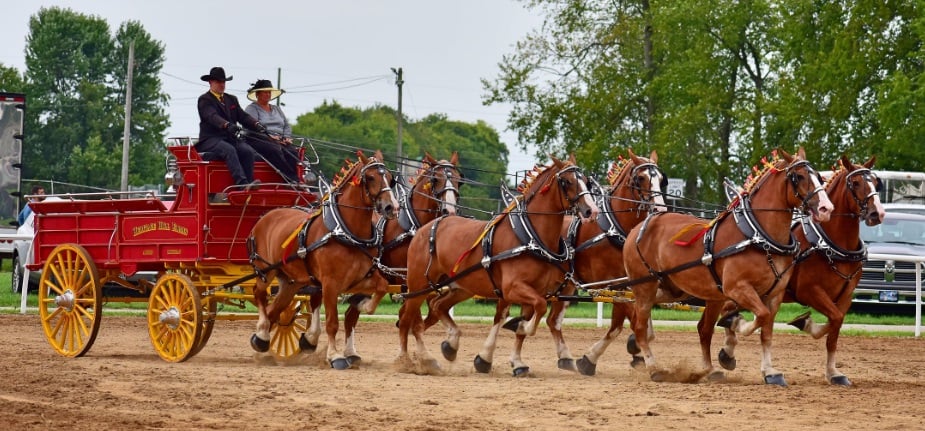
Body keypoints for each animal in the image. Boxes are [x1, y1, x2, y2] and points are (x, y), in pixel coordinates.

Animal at [247, 150, 400, 369]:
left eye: (389, 177)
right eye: (370, 178)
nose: (391, 207)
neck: (346, 232)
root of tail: (267, 215)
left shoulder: (360, 279)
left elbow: (381, 287)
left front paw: (361, 305)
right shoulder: (330, 283)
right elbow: (332, 321)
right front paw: (335, 356)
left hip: (292, 281)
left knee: (275, 308)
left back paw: (263, 340)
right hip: (266, 270)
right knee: (259, 295)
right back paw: (262, 332)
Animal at [397, 154, 599, 376]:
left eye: (586, 181)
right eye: (567, 181)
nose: (592, 210)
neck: (530, 237)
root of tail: (424, 229)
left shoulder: (534, 292)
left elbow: (531, 318)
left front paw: (517, 360)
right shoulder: (512, 289)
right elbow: (539, 308)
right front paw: (517, 327)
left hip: (462, 287)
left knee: (436, 306)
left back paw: (450, 344)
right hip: (419, 285)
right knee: (407, 320)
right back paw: (412, 360)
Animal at [622, 147, 833, 385]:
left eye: (819, 176)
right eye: (798, 176)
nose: (826, 208)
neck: (759, 235)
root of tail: (640, 227)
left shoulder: (775, 295)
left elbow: (767, 331)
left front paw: (770, 371)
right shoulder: (737, 288)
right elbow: (760, 317)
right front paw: (735, 322)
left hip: (674, 289)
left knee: (692, 326)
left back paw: (706, 368)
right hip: (645, 285)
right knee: (640, 324)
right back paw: (653, 367)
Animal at [703, 155, 884, 386]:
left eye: (876, 182)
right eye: (856, 183)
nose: (877, 213)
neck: (830, 243)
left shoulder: (845, 297)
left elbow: (834, 330)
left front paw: (833, 372)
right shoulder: (809, 291)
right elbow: (833, 320)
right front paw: (805, 323)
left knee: (728, 313)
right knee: (715, 321)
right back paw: (725, 352)